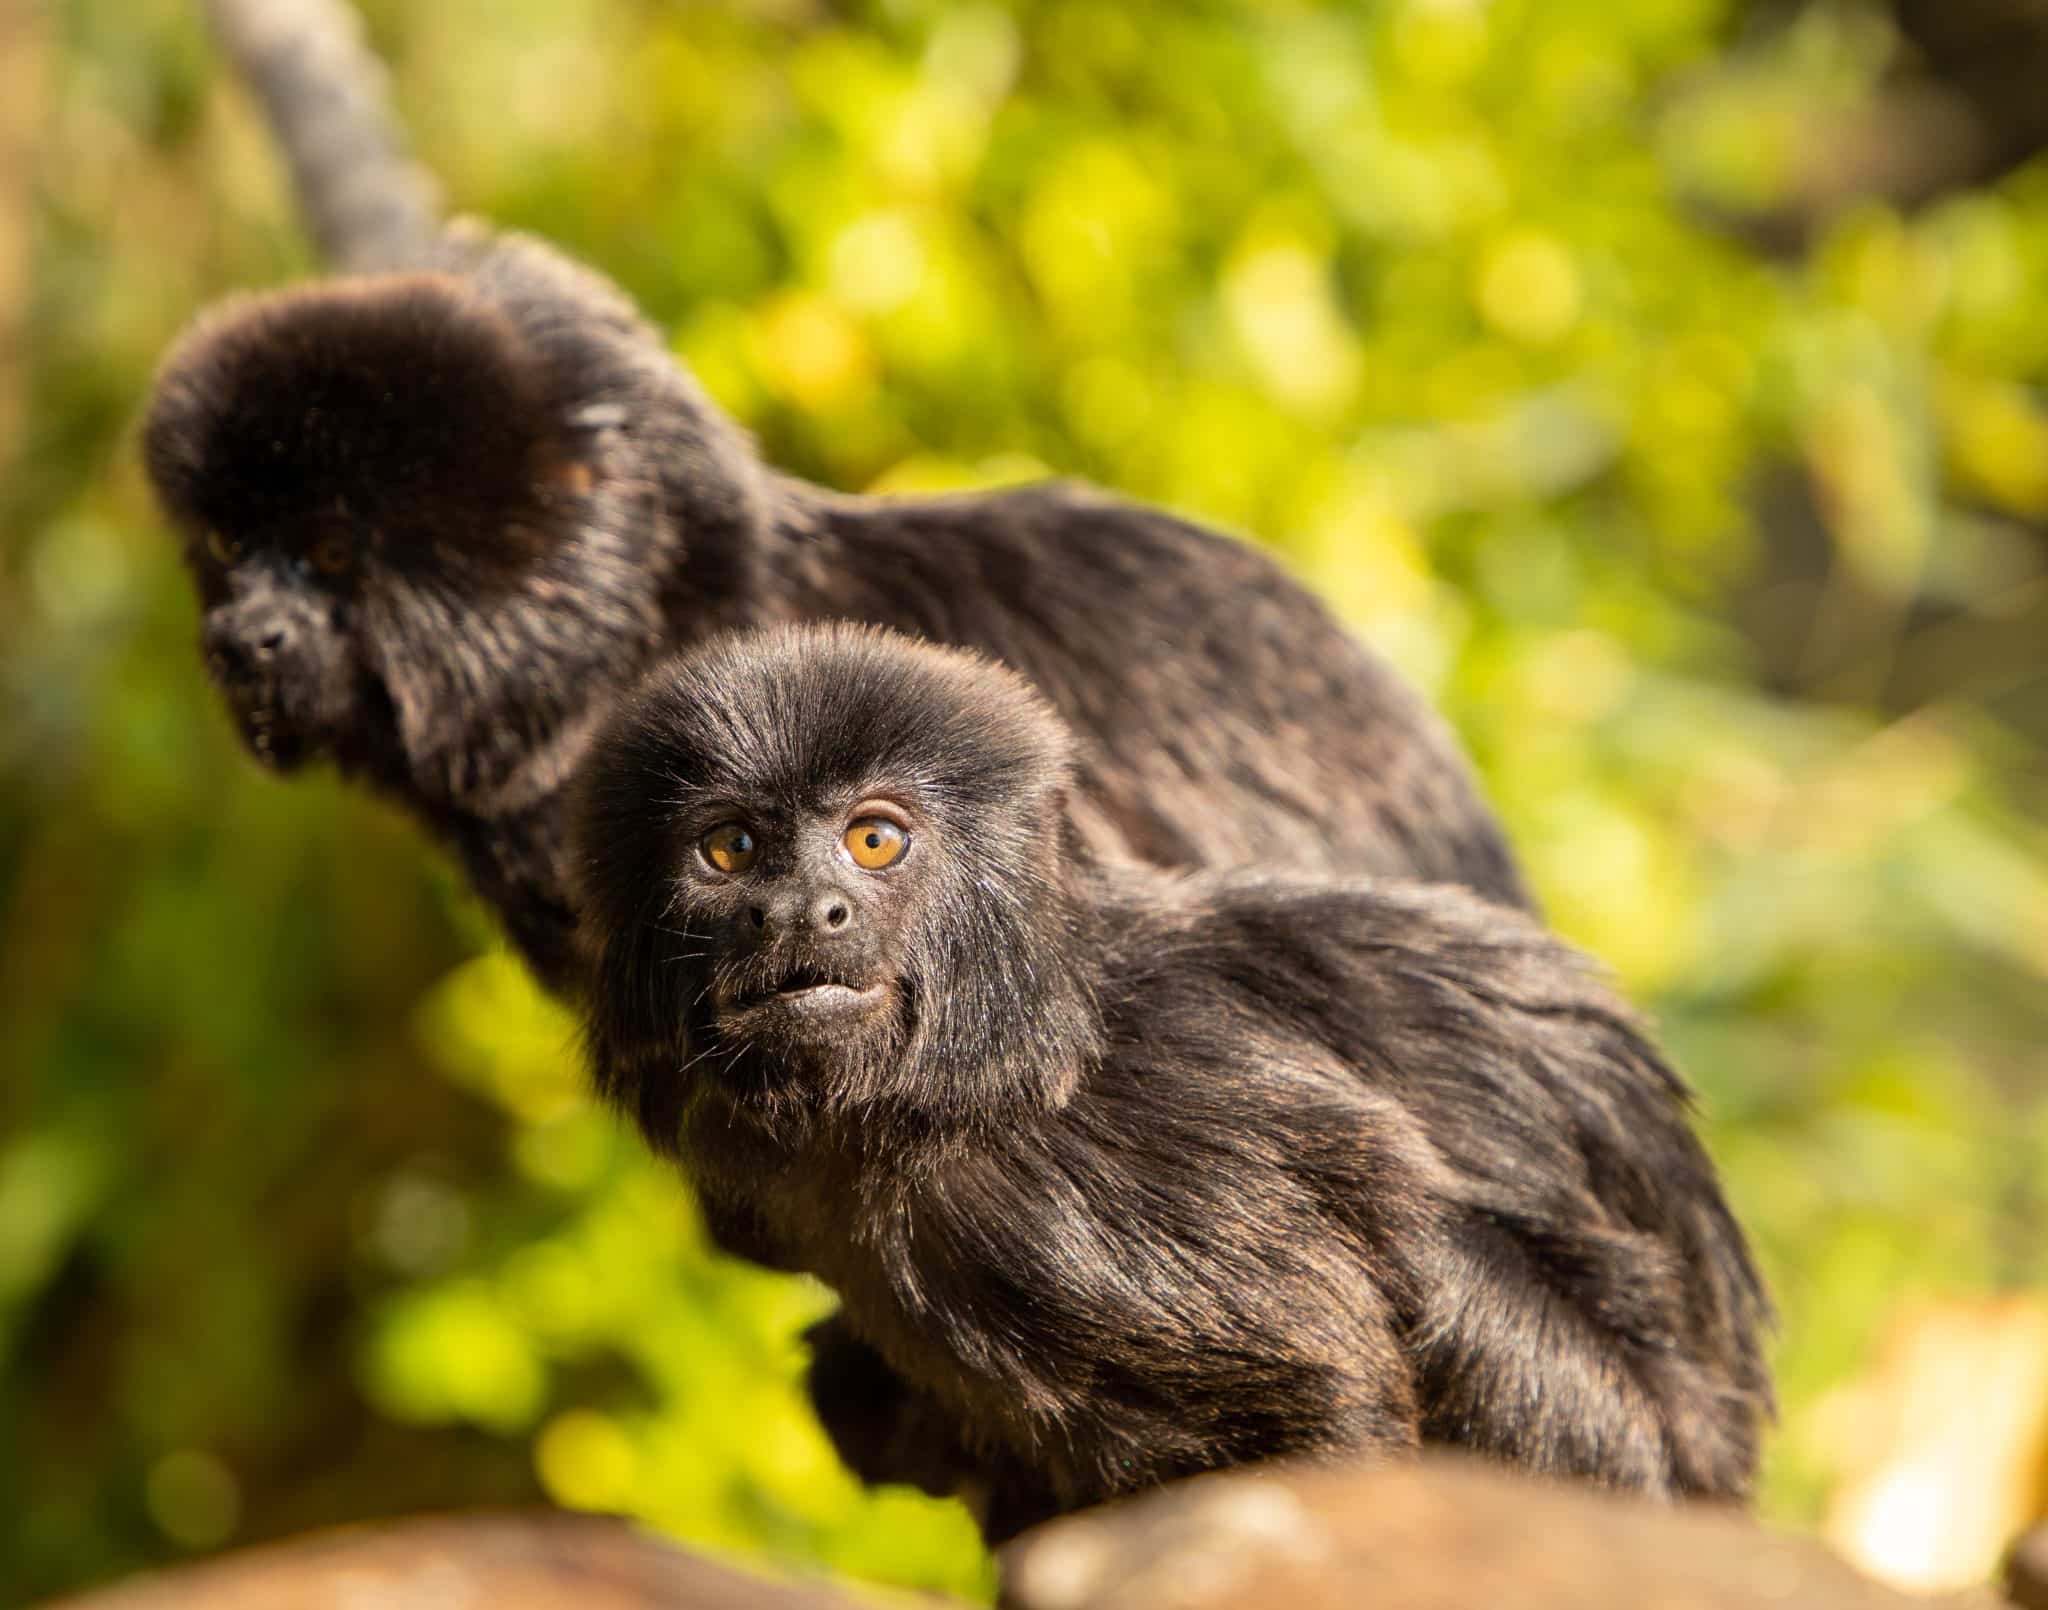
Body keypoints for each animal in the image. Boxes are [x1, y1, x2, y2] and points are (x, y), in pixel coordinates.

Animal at [570, 623, 1773, 1542]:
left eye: (873, 840)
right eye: (731, 848)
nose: (800, 913)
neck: (1002, 1080)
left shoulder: (1143, 1181)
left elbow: (1323, 1405)